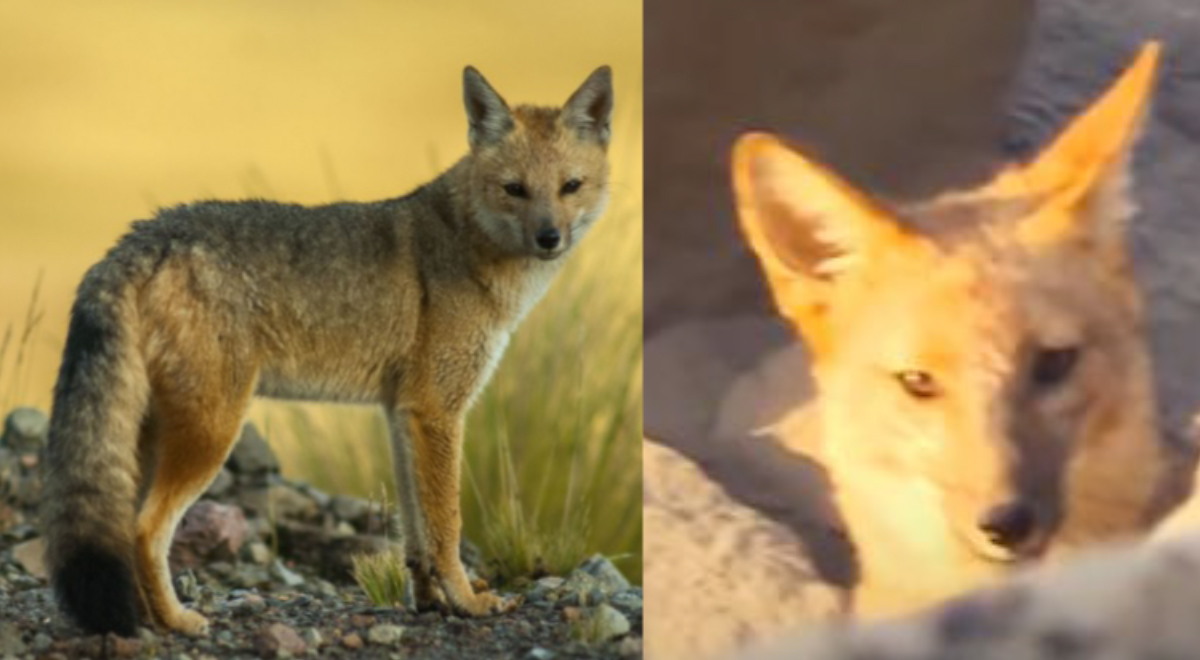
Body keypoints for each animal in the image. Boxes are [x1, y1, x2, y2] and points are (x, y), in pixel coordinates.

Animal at [41, 65, 614, 637]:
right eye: (515, 189)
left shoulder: (402, 414)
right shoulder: (437, 411)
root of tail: (139, 238)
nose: (549, 238)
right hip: (210, 433)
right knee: (145, 529)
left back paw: (142, 617)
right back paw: (175, 621)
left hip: (153, 432)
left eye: (570, 187)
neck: (467, 242)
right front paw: (468, 602)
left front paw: (432, 601)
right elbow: (447, 523)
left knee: (122, 525)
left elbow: (416, 530)